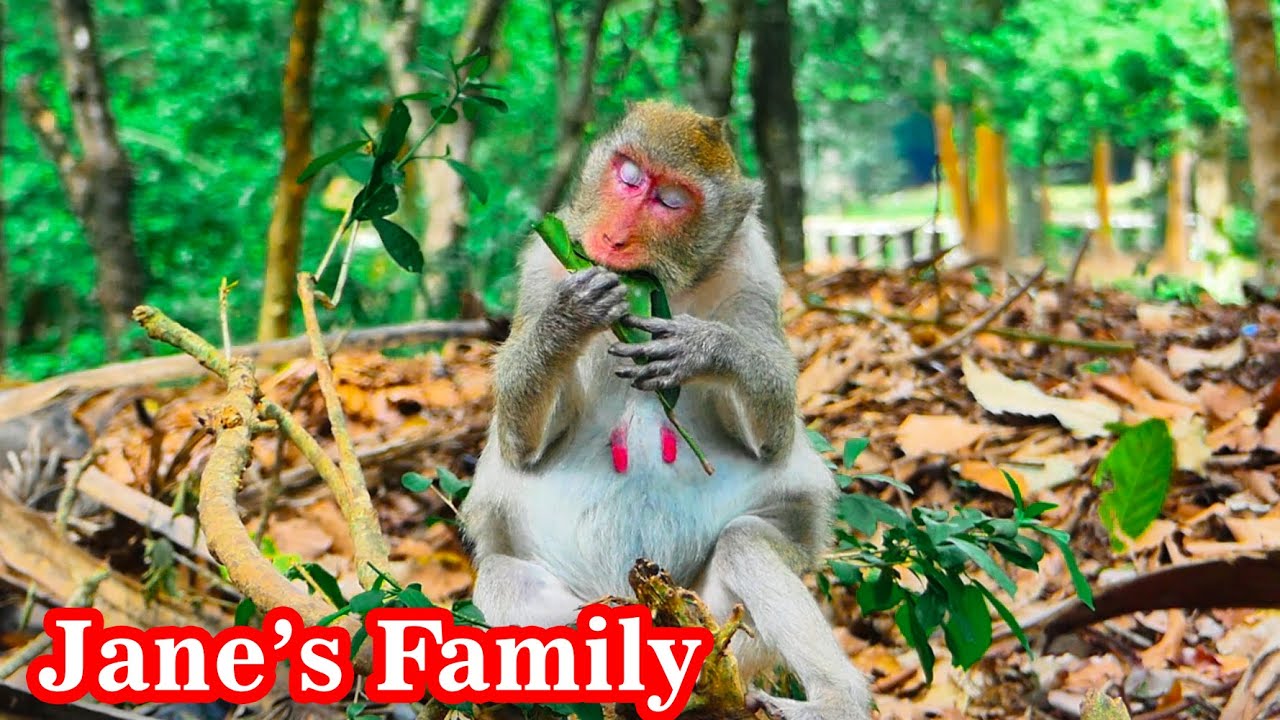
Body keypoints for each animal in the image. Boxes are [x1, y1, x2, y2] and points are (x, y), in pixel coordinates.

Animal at [459, 100, 872, 720]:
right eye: (630, 176)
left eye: (671, 201)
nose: (614, 237)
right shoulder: (543, 266)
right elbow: (521, 445)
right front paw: (567, 318)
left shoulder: (753, 270)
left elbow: (773, 437)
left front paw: (704, 349)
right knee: (504, 580)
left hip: (724, 633)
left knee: (746, 545)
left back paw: (834, 700)